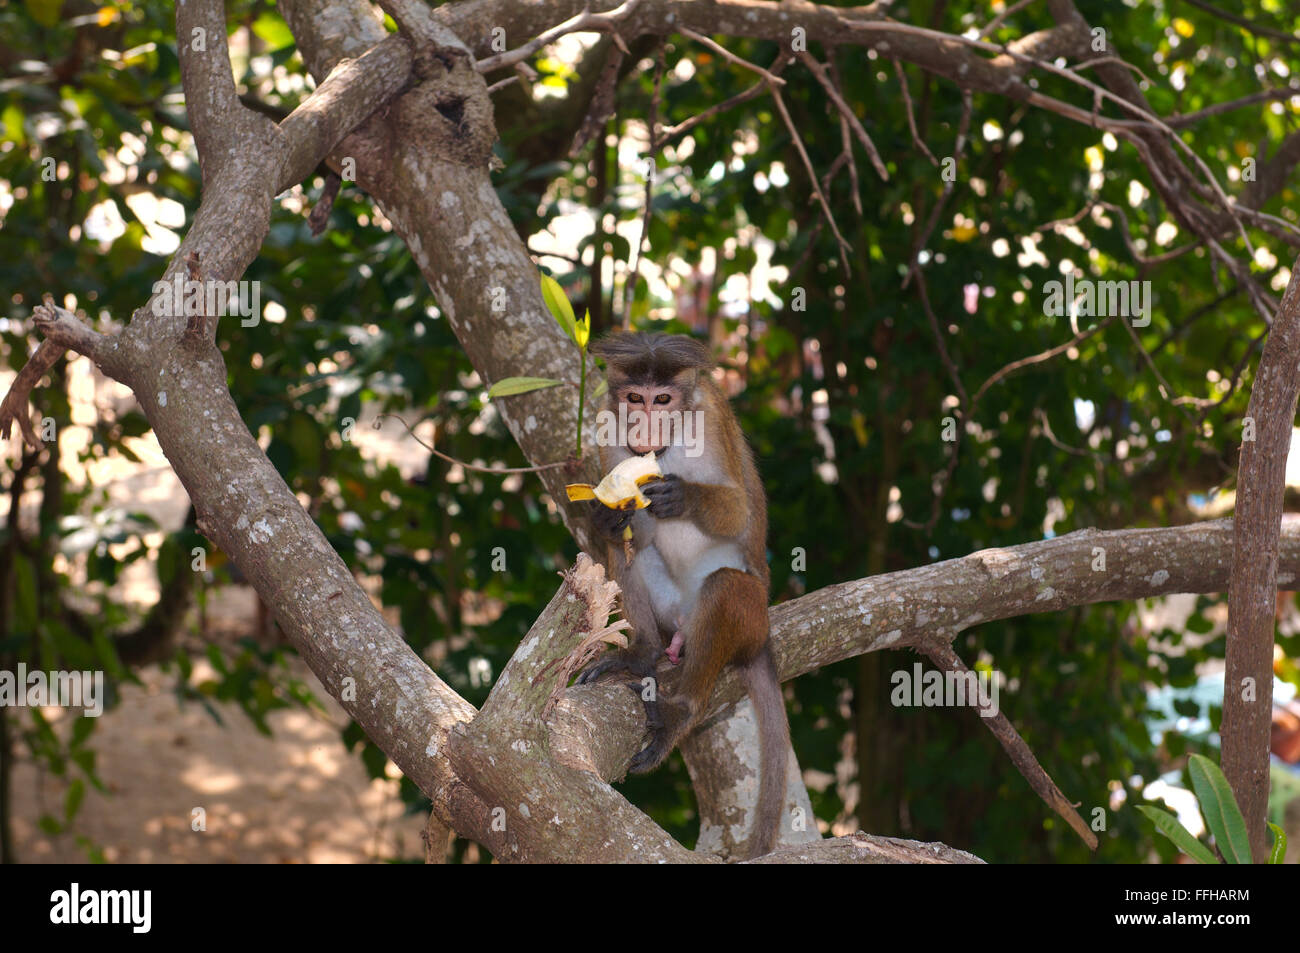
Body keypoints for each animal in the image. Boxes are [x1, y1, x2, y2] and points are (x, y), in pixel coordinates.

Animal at [577, 331, 790, 859]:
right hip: (669, 614)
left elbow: (739, 511)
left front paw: (685, 497)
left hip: (749, 617)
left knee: (726, 587)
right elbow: (630, 530)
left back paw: (680, 711)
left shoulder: (710, 417)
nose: (646, 422)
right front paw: (606, 516)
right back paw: (644, 653)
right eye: (635, 398)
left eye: (663, 401)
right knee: (628, 556)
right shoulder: (608, 426)